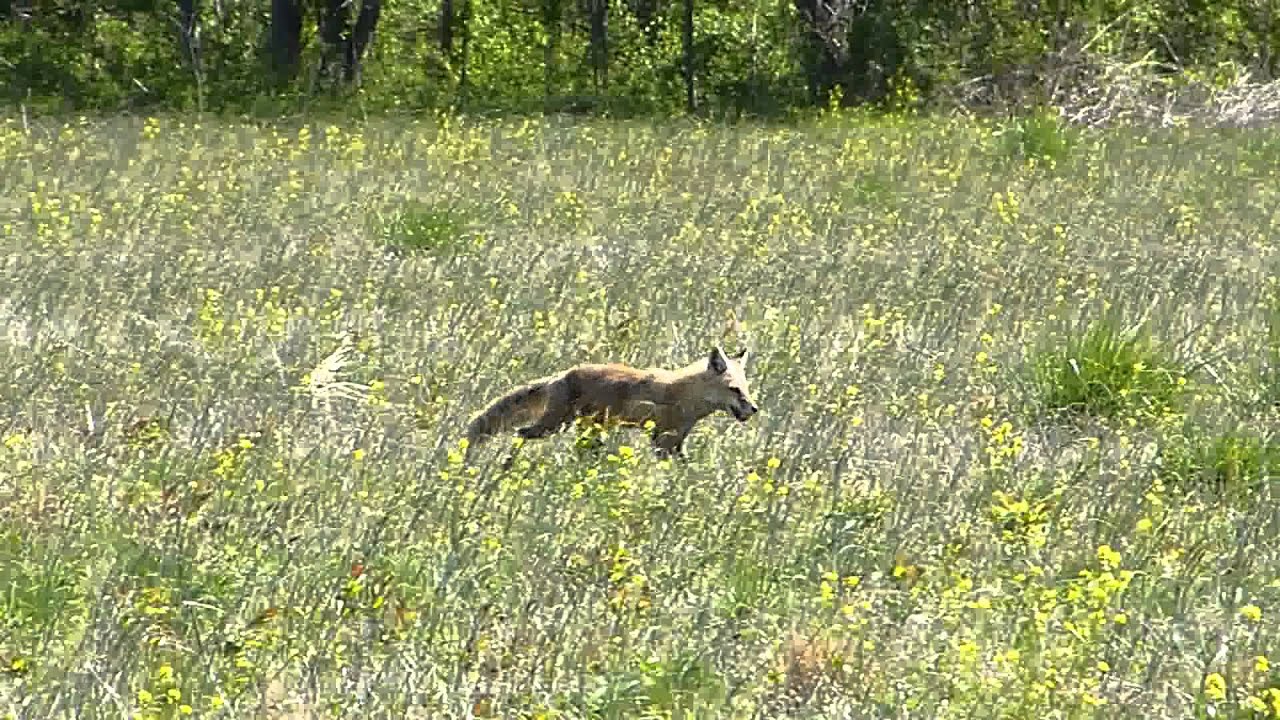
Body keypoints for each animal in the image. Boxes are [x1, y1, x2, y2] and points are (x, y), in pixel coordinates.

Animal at [464, 346, 758, 461]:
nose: (754, 409)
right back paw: (507, 464)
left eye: (746, 389)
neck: (685, 398)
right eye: (734, 390)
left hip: (586, 431)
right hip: (553, 426)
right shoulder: (661, 441)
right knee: (520, 433)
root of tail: (563, 374)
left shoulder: (677, 443)